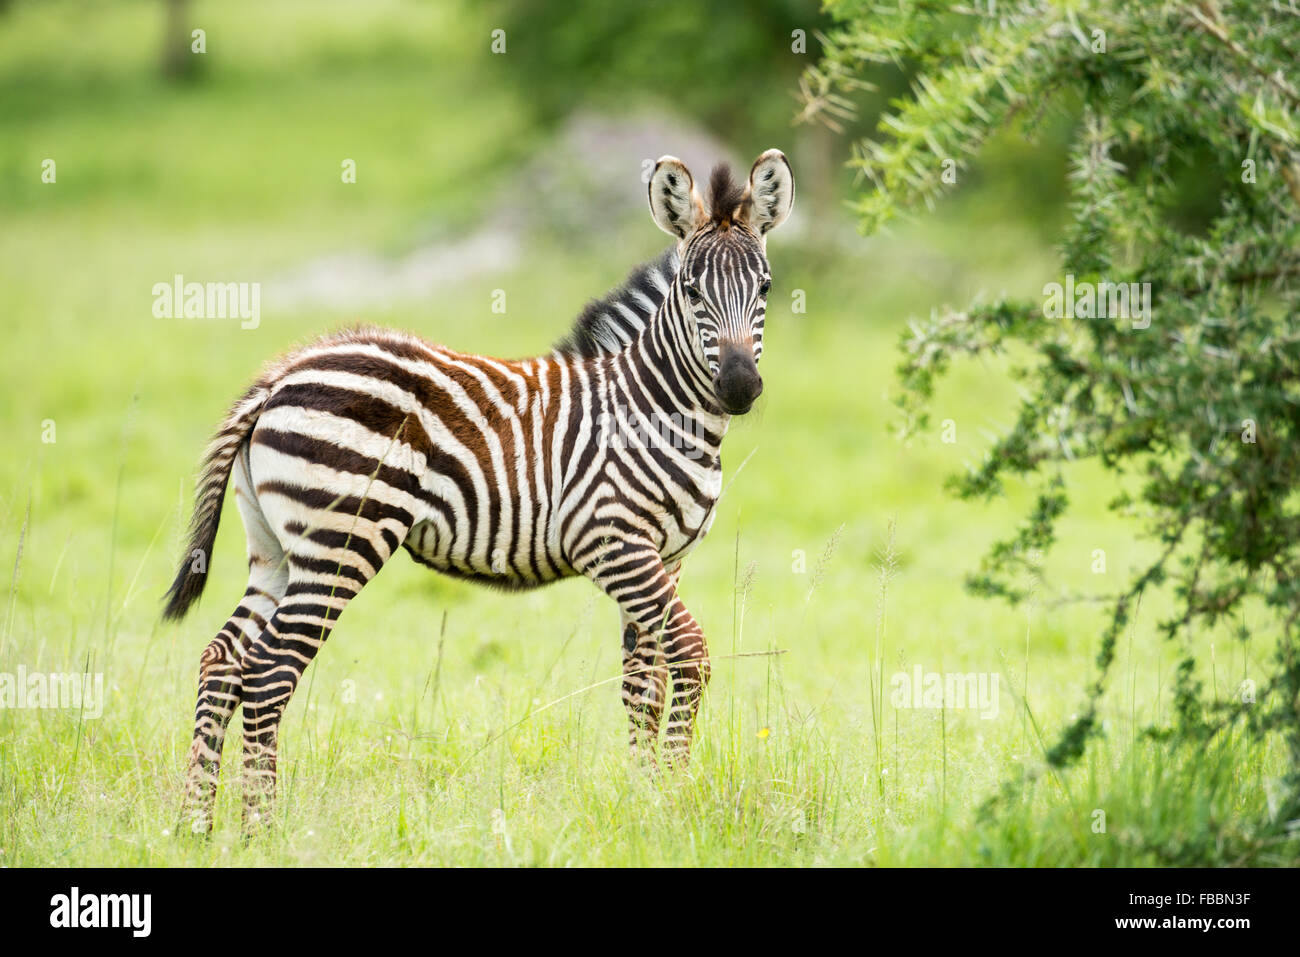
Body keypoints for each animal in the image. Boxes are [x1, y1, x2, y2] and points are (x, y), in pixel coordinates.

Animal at [163, 149, 795, 834]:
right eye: (692, 291)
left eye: (765, 288)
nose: (739, 387)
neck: (656, 407)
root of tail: (279, 378)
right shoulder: (615, 543)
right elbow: (691, 655)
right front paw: (673, 796)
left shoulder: (665, 558)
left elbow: (641, 682)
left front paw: (644, 798)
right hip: (339, 545)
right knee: (268, 672)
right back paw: (261, 830)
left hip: (277, 551)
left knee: (222, 661)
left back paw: (195, 825)